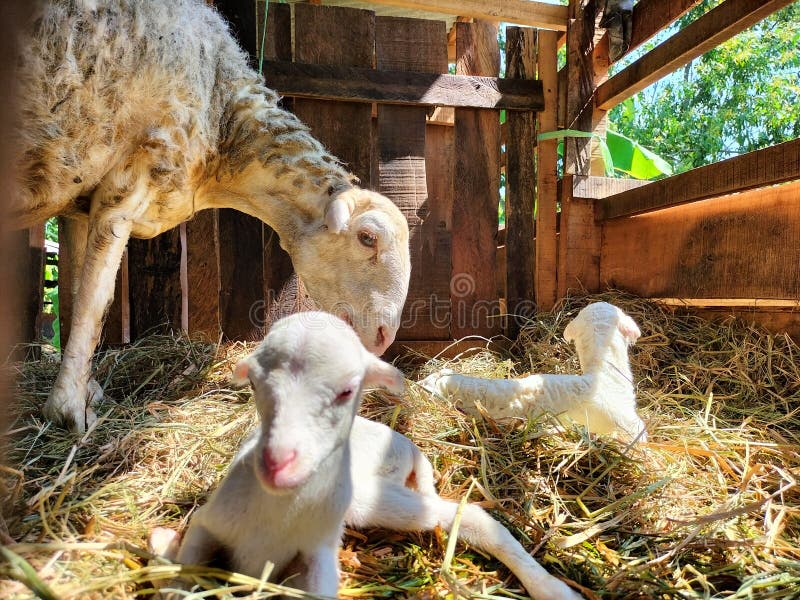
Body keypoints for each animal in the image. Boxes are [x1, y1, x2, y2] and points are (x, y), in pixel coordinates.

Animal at [10, 0, 410, 433]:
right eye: (367, 238)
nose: (385, 336)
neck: (221, 113)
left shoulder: (81, 198)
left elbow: (76, 292)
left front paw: (87, 389)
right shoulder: (131, 177)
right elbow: (96, 299)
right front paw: (69, 409)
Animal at [151, 312, 583, 600]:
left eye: (347, 390)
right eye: (255, 384)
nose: (276, 465)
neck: (276, 513)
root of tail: (409, 445)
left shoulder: (317, 555)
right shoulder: (208, 524)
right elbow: (179, 580)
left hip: (369, 495)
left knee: (471, 516)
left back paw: (554, 589)